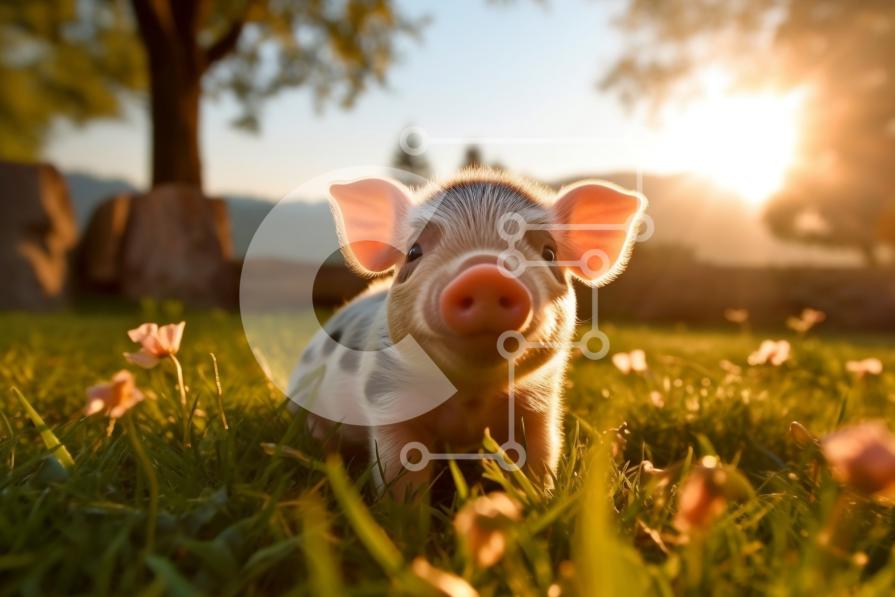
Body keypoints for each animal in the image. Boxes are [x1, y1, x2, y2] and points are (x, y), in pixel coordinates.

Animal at [288, 168, 646, 498]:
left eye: (549, 253)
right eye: (414, 252)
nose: (486, 274)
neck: (471, 396)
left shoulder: (539, 405)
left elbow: (540, 458)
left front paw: (537, 501)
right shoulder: (389, 398)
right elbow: (400, 471)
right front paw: (405, 516)